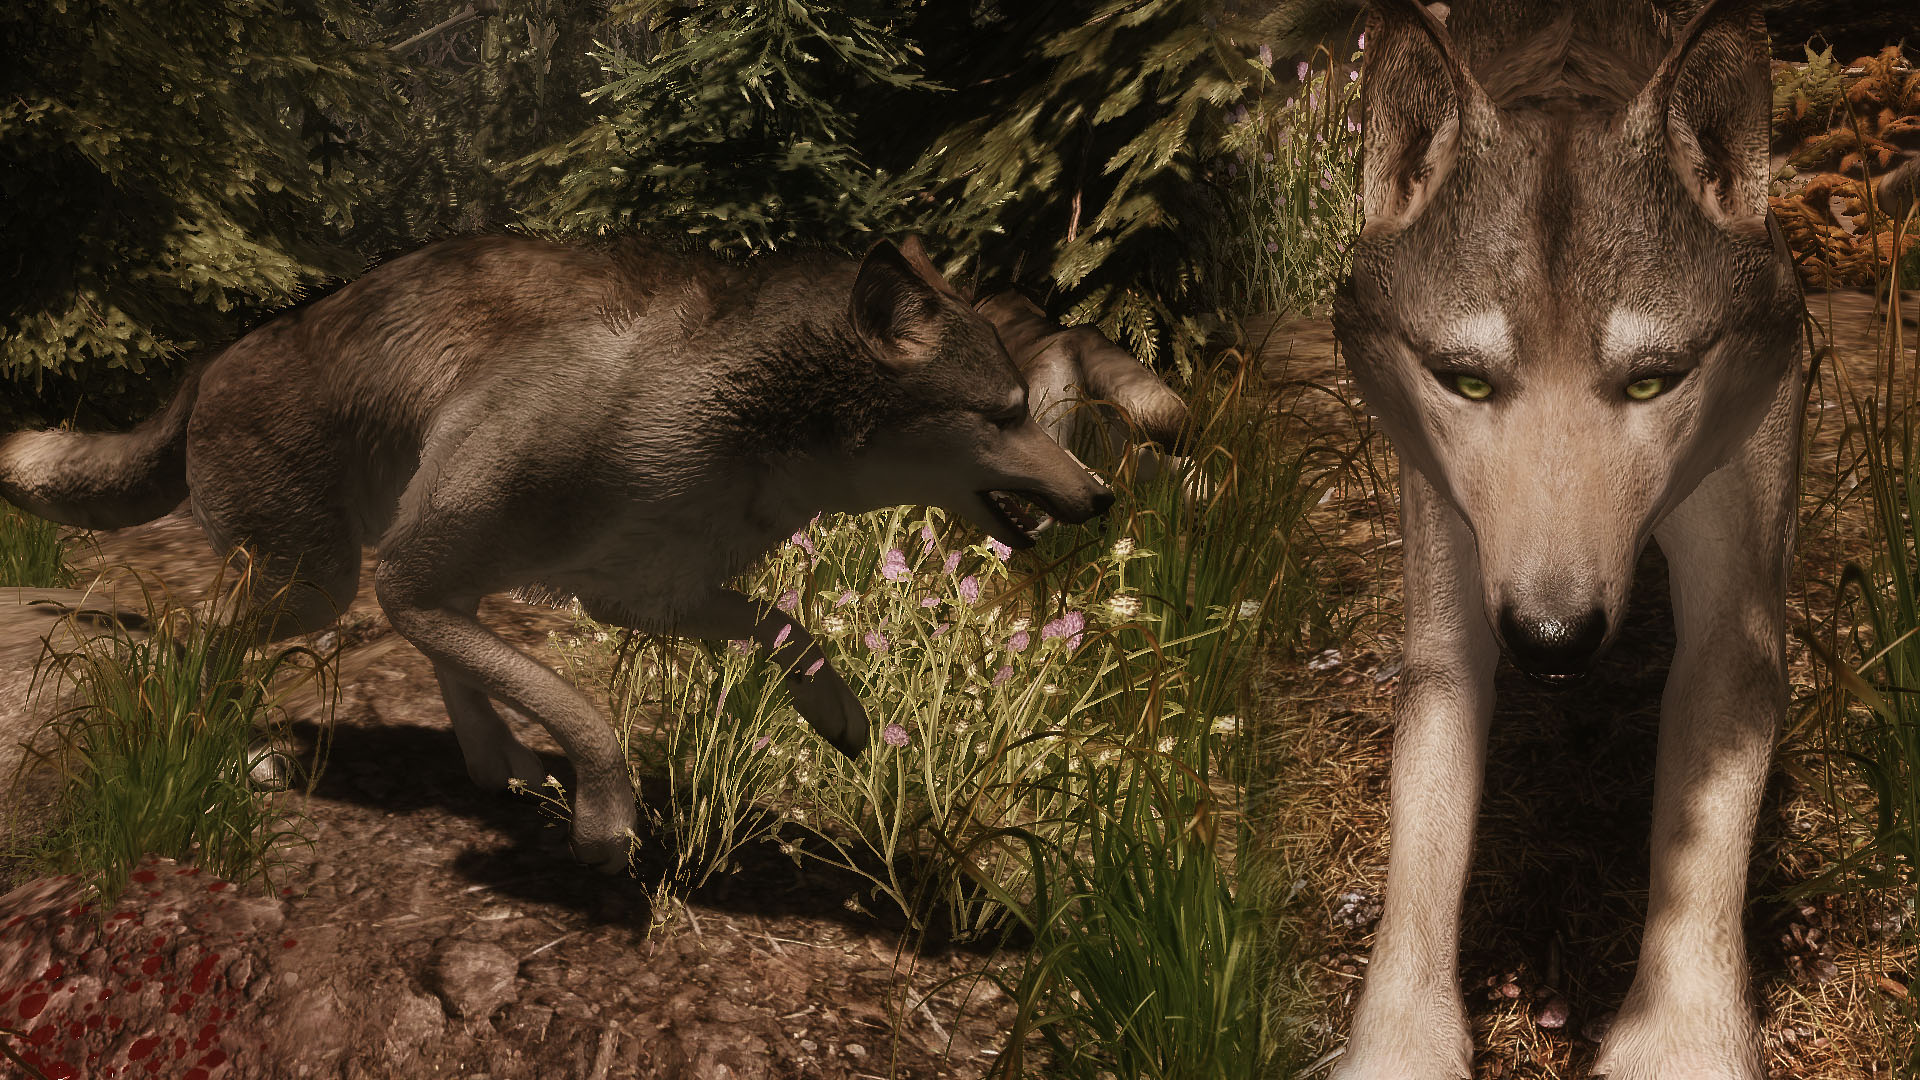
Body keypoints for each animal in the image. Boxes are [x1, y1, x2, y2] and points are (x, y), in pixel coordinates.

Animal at [0, 235, 1114, 872]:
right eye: (1006, 415)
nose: (1103, 497)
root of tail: (217, 358)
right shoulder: (429, 574)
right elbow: (591, 716)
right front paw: (605, 824)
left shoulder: (647, 594)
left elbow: (785, 626)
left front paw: (837, 713)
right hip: (316, 585)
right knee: (199, 651)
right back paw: (233, 757)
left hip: (378, 576)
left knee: (448, 651)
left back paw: (495, 760)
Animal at [1328, 0, 1804, 1077]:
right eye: (1465, 381)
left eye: (1651, 381)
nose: (1553, 639)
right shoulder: (1447, 609)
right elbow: (1424, 824)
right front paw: (1399, 1041)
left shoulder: (1735, 622)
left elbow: (1704, 834)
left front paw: (1681, 1041)